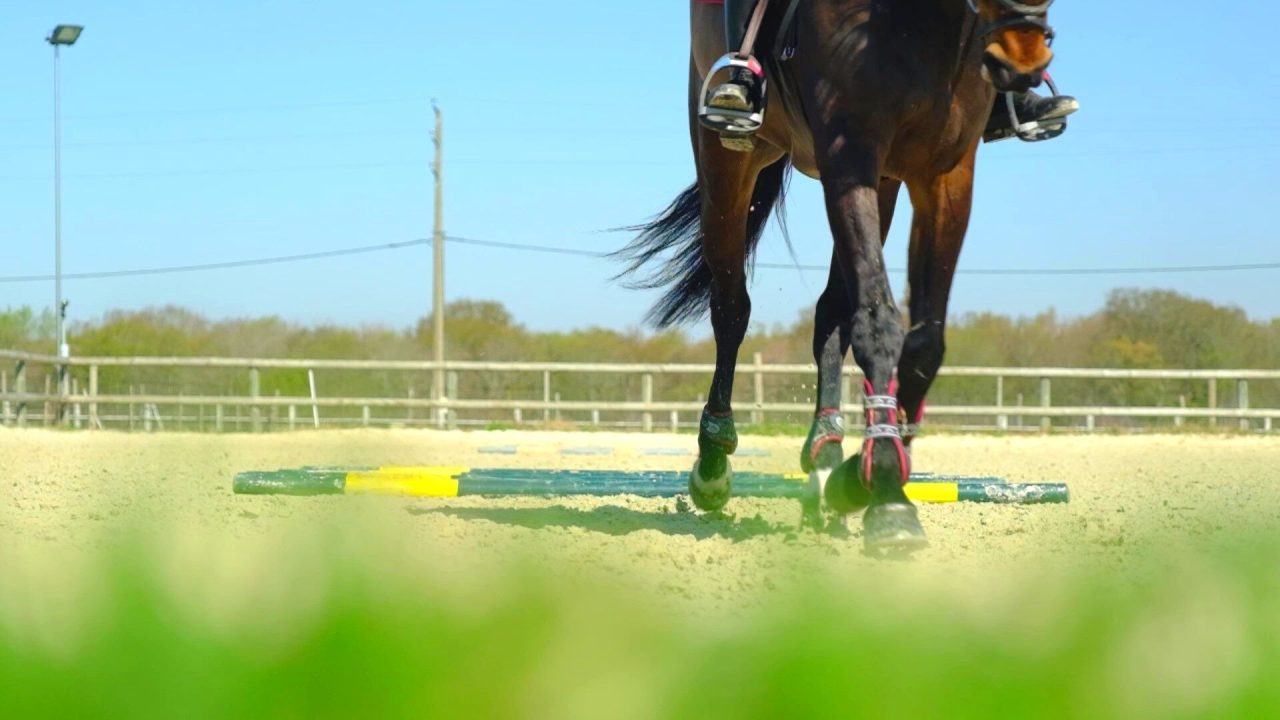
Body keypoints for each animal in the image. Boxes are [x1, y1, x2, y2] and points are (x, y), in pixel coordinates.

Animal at [617, 0, 1058, 553]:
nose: (1023, 56)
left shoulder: (945, 176)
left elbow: (923, 344)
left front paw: (866, 476)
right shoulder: (851, 155)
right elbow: (878, 323)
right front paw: (886, 488)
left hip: (886, 184)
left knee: (830, 313)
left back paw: (825, 453)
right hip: (726, 160)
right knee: (731, 307)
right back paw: (714, 459)